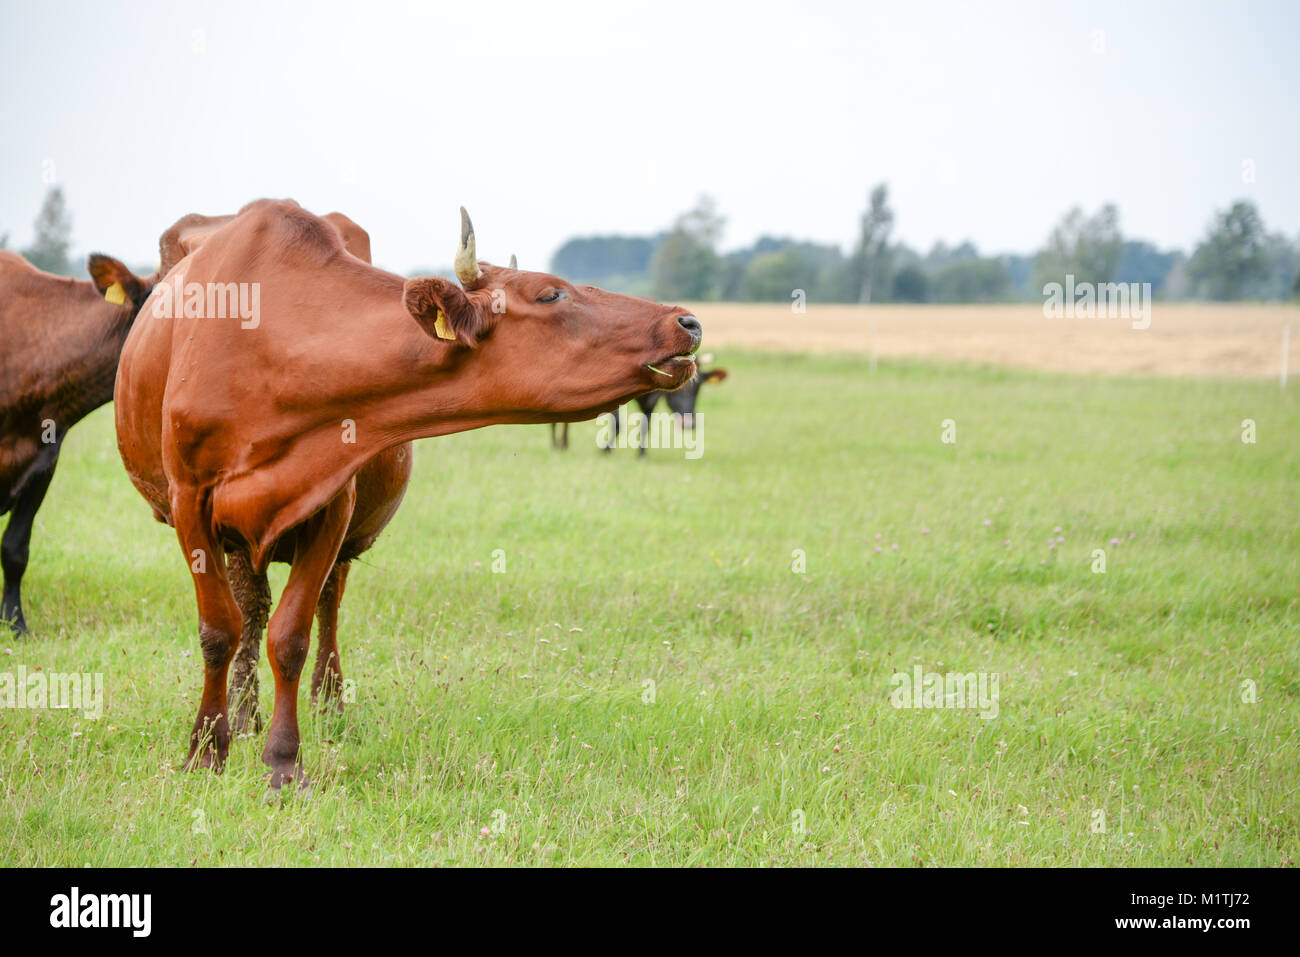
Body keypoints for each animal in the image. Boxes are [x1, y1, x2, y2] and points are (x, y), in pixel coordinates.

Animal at [114, 199, 702, 789]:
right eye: (551, 294)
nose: (687, 321)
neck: (270, 355)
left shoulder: (333, 502)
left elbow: (292, 635)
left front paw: (283, 762)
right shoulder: (189, 501)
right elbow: (219, 630)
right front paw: (205, 750)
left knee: (321, 605)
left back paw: (324, 706)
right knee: (250, 609)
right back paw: (241, 713)